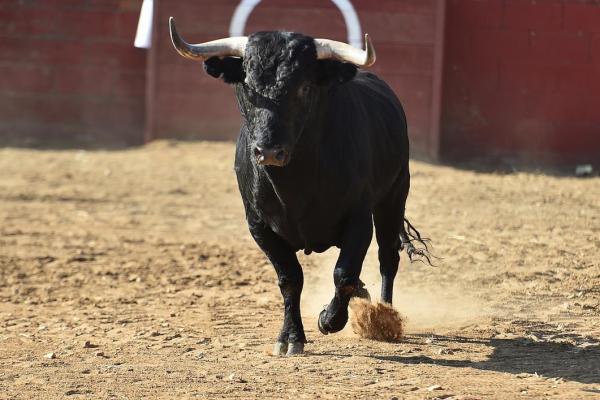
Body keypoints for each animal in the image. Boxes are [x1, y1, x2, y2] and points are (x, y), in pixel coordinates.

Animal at [170, 28, 432, 356]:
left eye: (304, 87)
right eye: (247, 84)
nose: (269, 151)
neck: (296, 183)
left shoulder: (359, 220)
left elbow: (343, 274)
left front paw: (329, 319)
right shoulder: (258, 225)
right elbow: (290, 278)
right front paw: (291, 337)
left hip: (394, 196)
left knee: (387, 257)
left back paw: (383, 314)